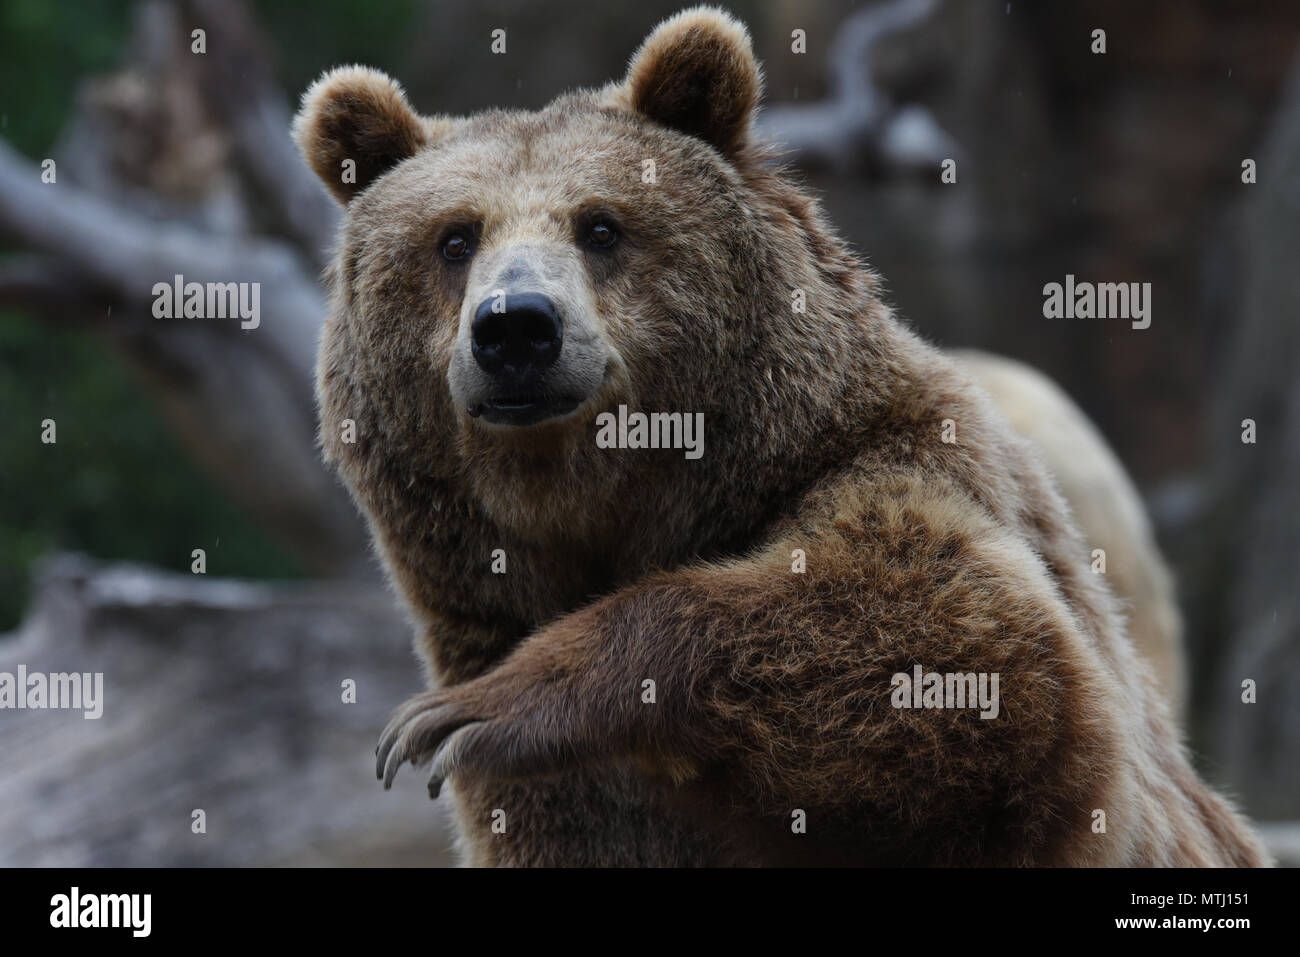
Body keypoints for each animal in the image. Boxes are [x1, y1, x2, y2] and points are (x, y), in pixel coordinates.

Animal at [293, 7, 1265, 865]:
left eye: (601, 225)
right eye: (454, 238)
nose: (517, 328)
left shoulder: (901, 464)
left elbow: (977, 656)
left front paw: (477, 709)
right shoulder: (543, 763)